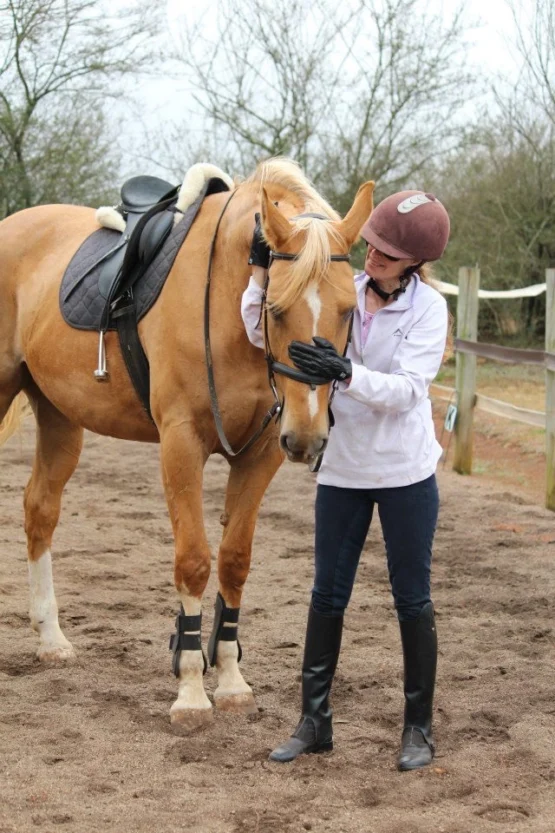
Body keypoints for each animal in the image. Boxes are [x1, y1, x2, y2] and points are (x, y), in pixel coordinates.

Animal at [0, 158, 374, 731]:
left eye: (349, 309)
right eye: (277, 308)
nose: (309, 439)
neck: (227, 303)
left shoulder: (261, 454)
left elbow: (234, 560)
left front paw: (232, 681)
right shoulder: (181, 444)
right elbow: (194, 561)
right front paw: (193, 692)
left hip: (60, 415)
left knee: (40, 508)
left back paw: (51, 639)